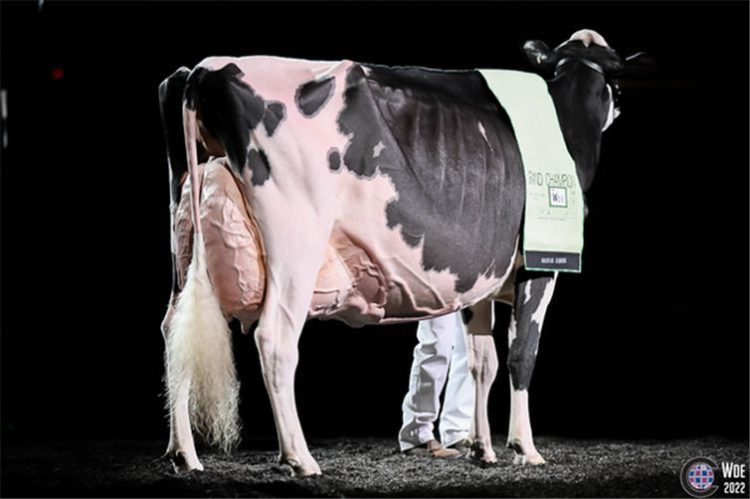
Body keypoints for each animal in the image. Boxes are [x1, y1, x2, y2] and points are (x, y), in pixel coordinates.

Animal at [158, 29, 652, 476]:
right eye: (616, 82)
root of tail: (205, 69)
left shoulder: (478, 282)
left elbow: (482, 363)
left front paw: (483, 449)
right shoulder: (540, 267)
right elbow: (520, 355)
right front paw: (523, 448)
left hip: (184, 235)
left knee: (174, 329)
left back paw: (184, 453)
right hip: (296, 242)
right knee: (275, 339)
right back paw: (300, 458)